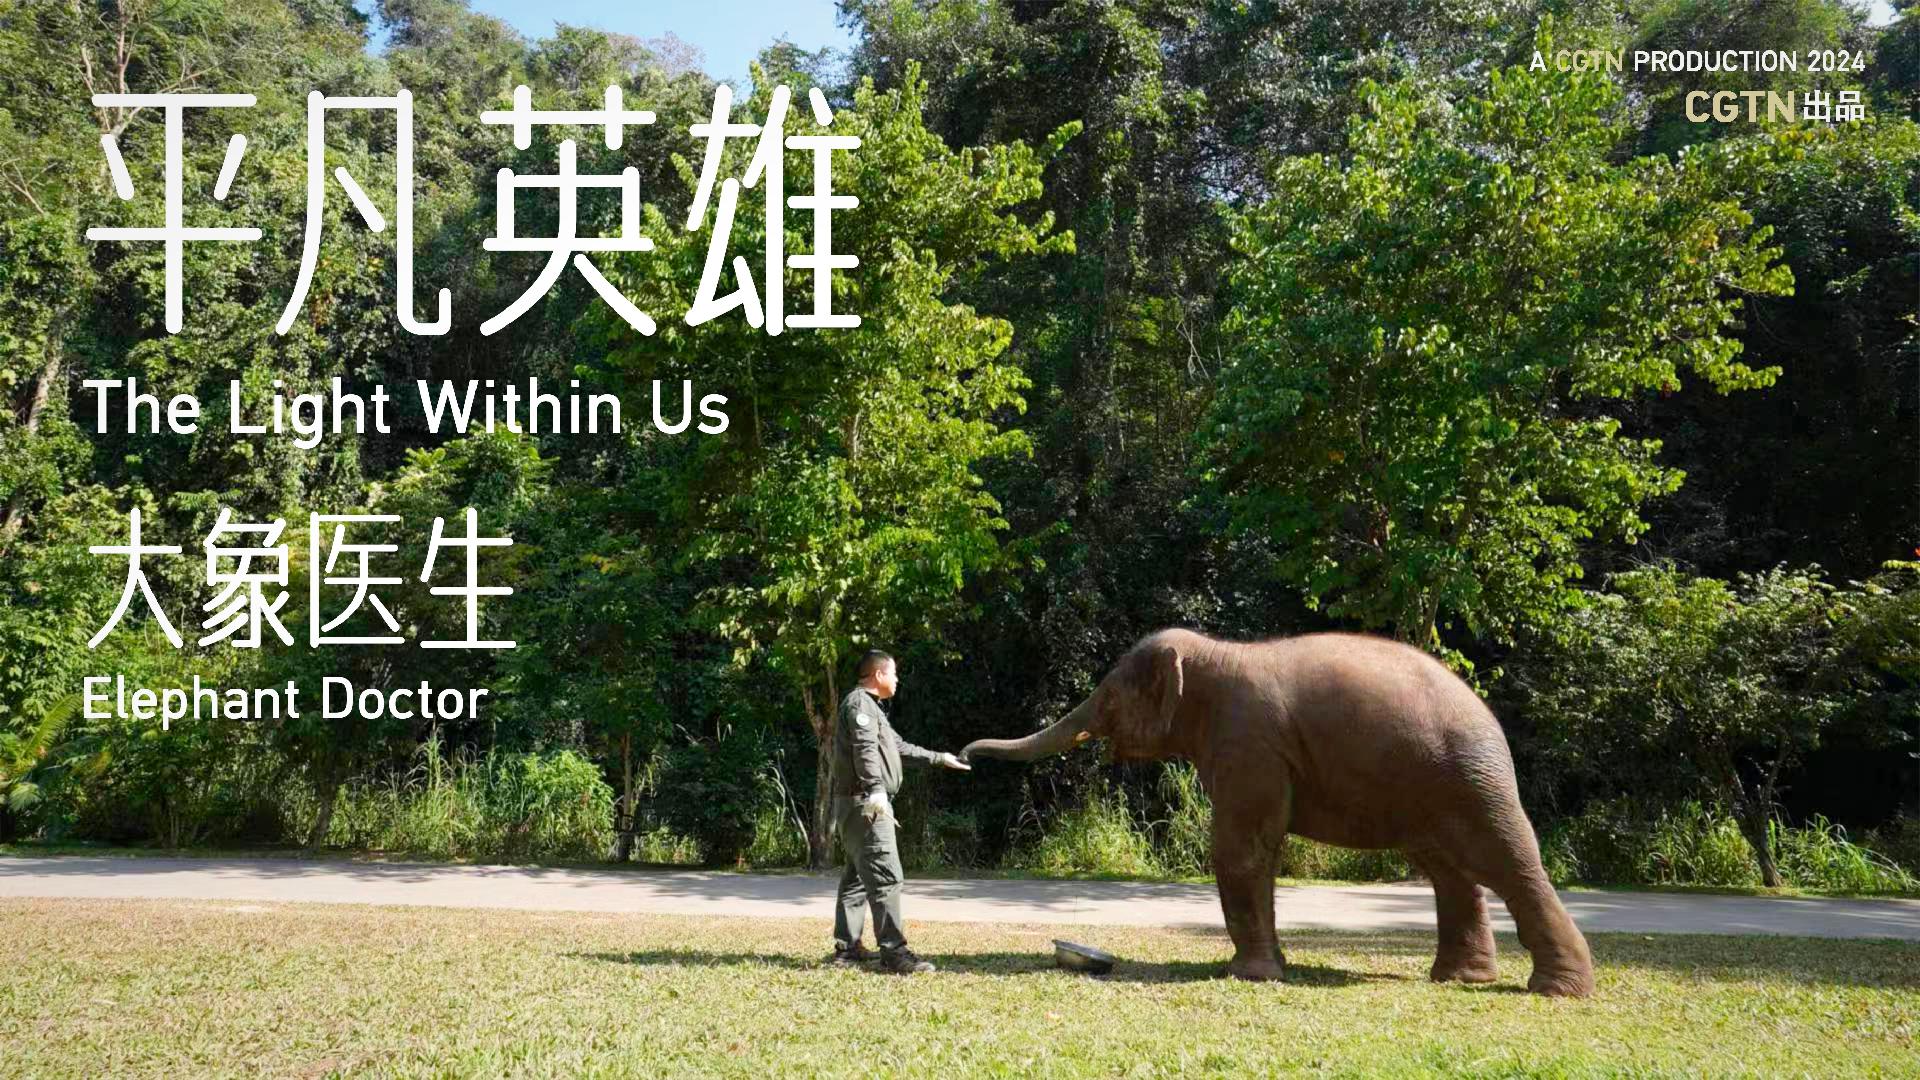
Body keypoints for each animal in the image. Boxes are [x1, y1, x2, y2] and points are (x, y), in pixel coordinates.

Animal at [962, 629, 1595, 997]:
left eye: (1110, 698)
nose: (964, 757)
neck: (1214, 652)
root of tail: (1490, 720)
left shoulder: (1249, 741)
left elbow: (1241, 846)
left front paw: (1248, 976)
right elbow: (1258, 849)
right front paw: (1271, 968)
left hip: (1466, 780)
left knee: (1504, 862)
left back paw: (1557, 990)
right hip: (1428, 785)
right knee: (1451, 871)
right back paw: (1460, 980)